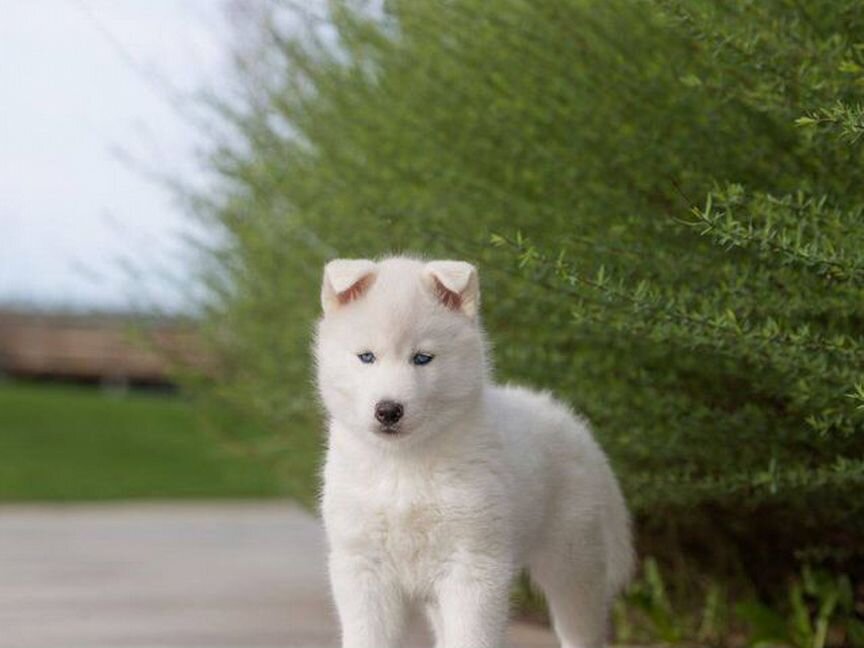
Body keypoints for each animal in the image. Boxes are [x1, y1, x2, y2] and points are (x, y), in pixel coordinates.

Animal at [318, 256, 636, 644]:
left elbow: (471, 636)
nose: (388, 410)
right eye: (366, 357)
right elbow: (368, 636)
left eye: (422, 358)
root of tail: (575, 424)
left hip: (574, 561)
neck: (404, 462)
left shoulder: (473, 565)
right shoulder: (362, 566)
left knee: (581, 629)